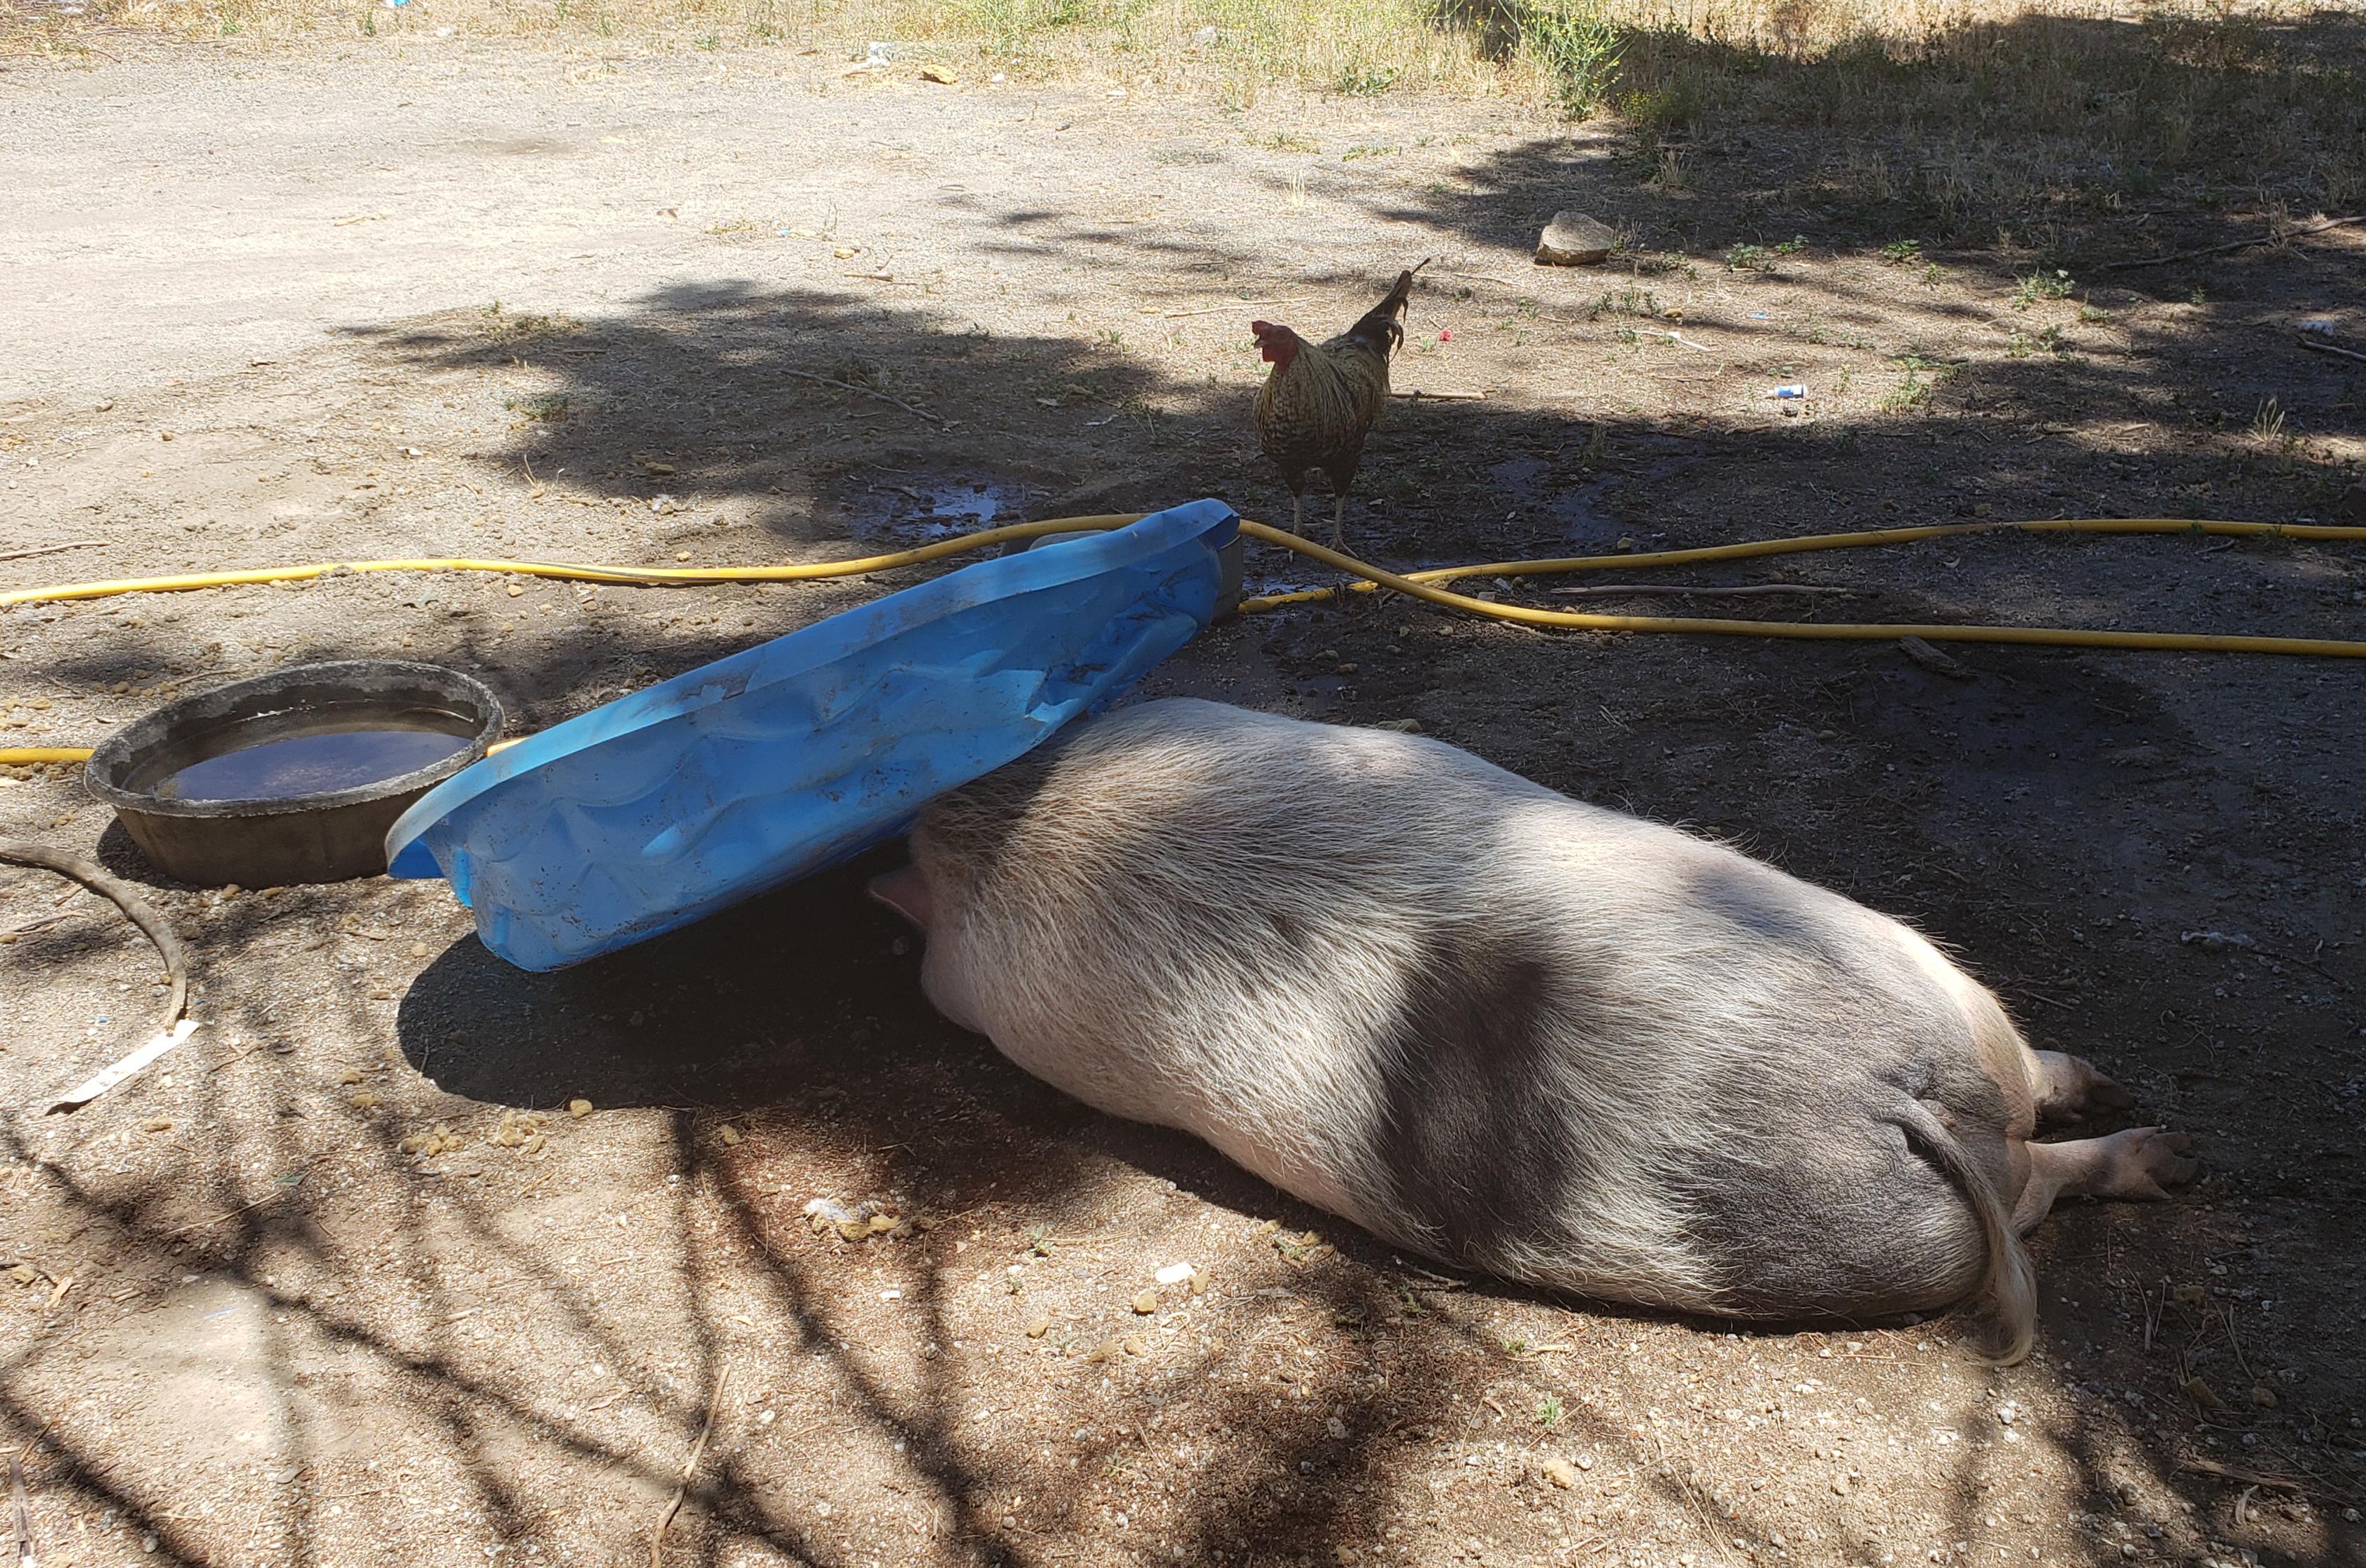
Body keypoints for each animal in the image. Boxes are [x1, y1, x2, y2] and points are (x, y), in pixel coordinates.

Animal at [869, 698, 2196, 1360]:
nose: (915, 822)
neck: (1014, 825)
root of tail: (1894, 1091)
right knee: (2034, 1163)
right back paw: (2158, 1144)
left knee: (2033, 1152)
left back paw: (2151, 1140)